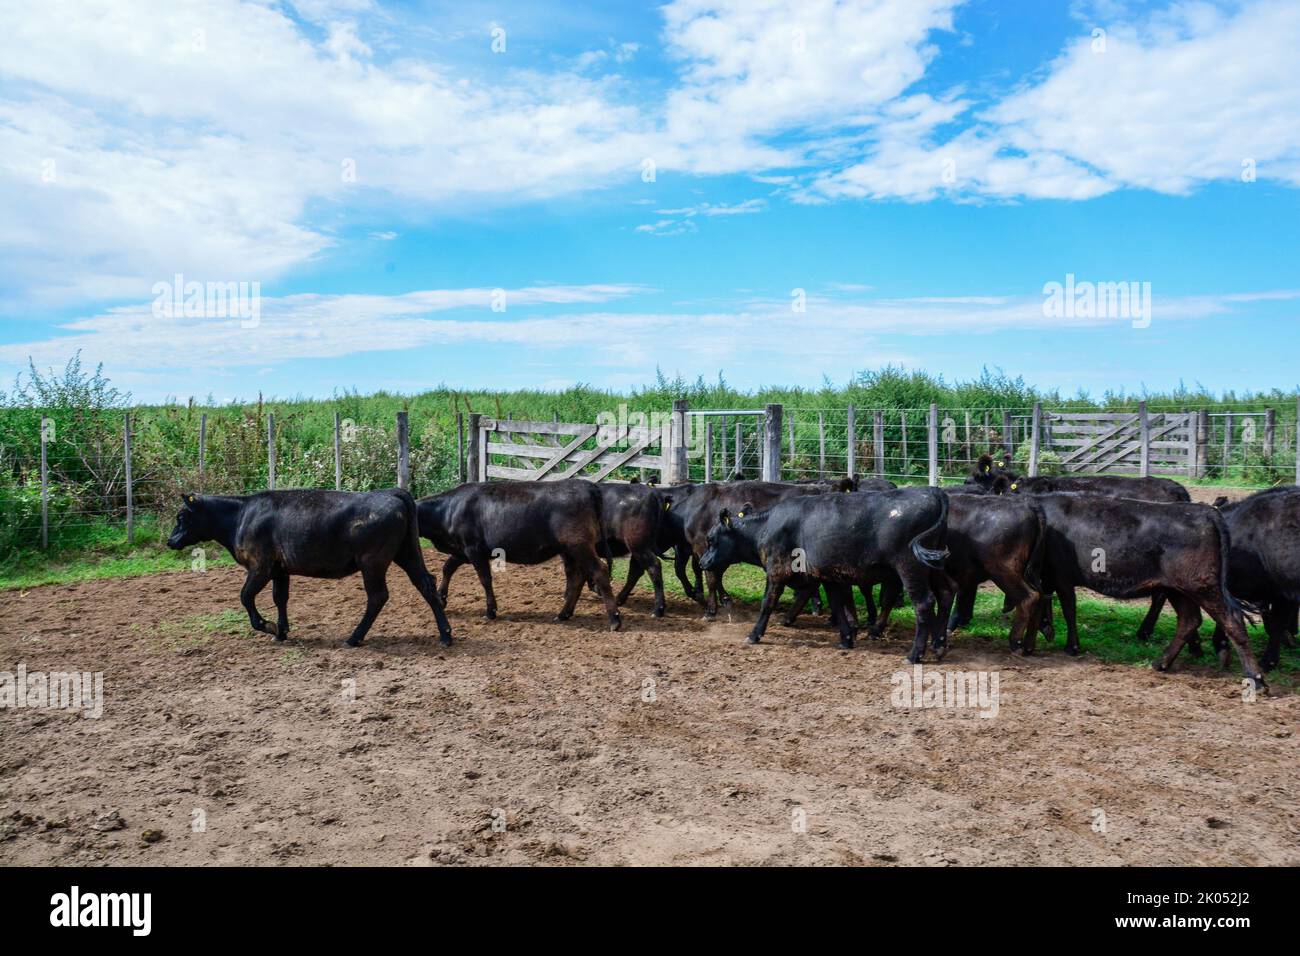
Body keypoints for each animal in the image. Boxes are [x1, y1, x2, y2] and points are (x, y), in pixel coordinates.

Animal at [166, 488, 452, 647]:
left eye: (181, 516)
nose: (170, 541)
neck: (241, 515)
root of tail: (391, 492)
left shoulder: (260, 567)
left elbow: (245, 596)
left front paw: (267, 626)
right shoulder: (280, 570)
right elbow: (280, 598)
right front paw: (281, 631)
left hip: (372, 562)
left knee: (378, 596)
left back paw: (354, 637)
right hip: (407, 553)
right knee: (425, 584)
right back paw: (445, 634)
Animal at [416, 480, 622, 630]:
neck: (449, 509)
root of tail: (587, 485)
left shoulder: (474, 550)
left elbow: (485, 579)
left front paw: (490, 611)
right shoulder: (462, 551)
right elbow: (447, 568)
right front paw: (441, 598)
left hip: (579, 546)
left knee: (599, 571)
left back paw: (614, 619)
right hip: (569, 551)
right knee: (575, 579)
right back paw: (563, 614)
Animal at [697, 487, 953, 663]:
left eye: (711, 539)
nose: (702, 562)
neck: (766, 526)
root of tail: (932, 491)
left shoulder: (777, 571)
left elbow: (767, 603)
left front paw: (754, 634)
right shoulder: (828, 576)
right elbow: (837, 604)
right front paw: (846, 639)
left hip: (910, 567)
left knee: (924, 604)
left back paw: (914, 654)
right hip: (933, 566)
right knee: (945, 595)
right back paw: (938, 646)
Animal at [1027, 493, 1265, 688]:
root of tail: (1208, 511)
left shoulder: (1061, 576)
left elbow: (1068, 608)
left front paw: (1071, 646)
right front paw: (1046, 629)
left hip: (1203, 586)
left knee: (1232, 620)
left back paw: (1256, 679)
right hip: (1177, 589)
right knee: (1190, 620)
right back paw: (1162, 663)